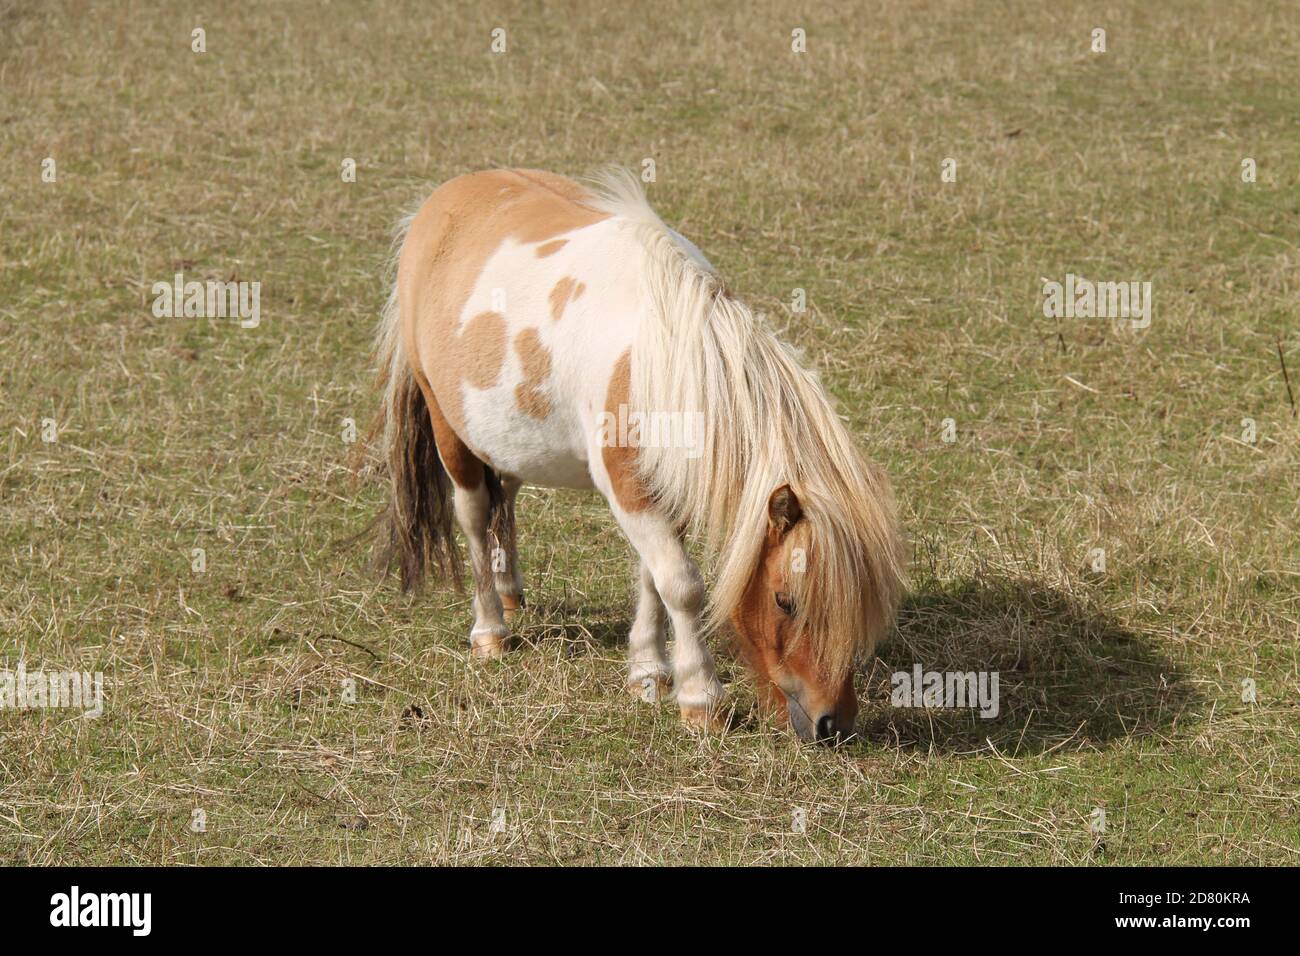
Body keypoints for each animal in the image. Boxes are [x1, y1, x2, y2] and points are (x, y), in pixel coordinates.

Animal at [372, 168, 906, 743]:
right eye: (786, 600)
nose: (834, 722)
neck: (662, 355)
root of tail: (439, 202)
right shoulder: (629, 491)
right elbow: (682, 586)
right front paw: (700, 698)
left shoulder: (663, 485)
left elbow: (653, 577)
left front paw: (648, 671)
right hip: (450, 429)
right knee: (473, 516)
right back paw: (490, 628)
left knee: (505, 497)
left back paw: (510, 588)